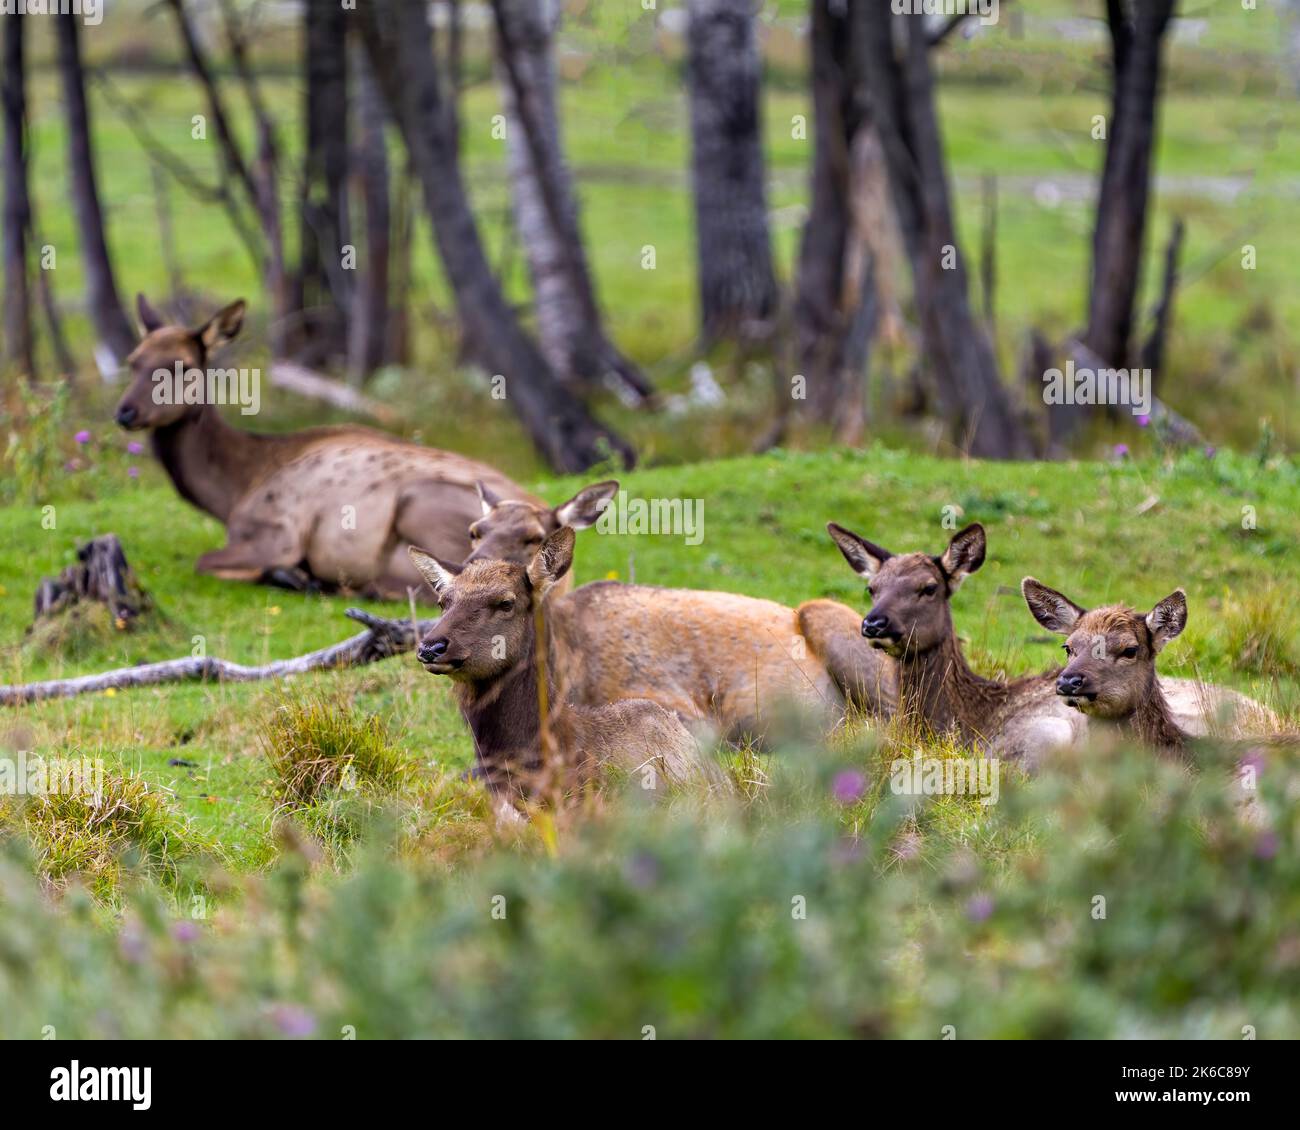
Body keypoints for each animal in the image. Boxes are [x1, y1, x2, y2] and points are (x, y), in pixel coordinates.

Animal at [112, 295, 540, 600]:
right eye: (133, 361)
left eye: (182, 366)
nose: (125, 411)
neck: (233, 489)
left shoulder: (276, 533)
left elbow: (204, 561)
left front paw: (294, 575)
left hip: (421, 502)